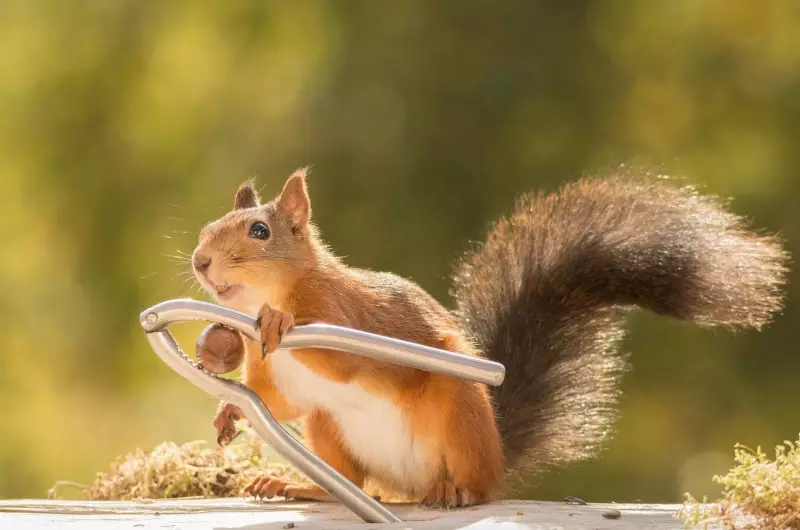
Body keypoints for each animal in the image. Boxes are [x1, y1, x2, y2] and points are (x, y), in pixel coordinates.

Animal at [189, 167, 788, 506]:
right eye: (206, 229)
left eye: (259, 231)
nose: (199, 261)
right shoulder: (281, 382)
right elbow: (275, 400)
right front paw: (228, 407)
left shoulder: (346, 315)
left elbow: (340, 358)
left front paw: (278, 321)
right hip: (329, 428)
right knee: (351, 483)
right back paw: (300, 485)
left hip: (459, 411)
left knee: (473, 482)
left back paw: (457, 490)